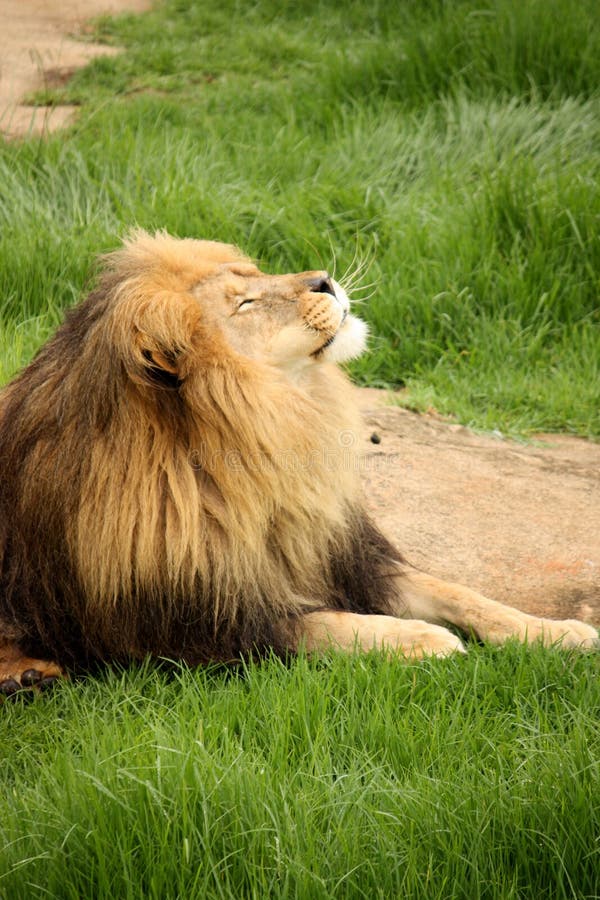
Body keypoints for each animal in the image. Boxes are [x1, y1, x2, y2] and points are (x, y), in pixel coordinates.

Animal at [0, 230, 596, 694]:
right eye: (243, 303)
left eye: (252, 273)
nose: (325, 280)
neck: (275, 446)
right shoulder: (191, 625)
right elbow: (327, 625)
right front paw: (421, 639)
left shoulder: (343, 554)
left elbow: (463, 593)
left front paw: (559, 631)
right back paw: (25, 675)